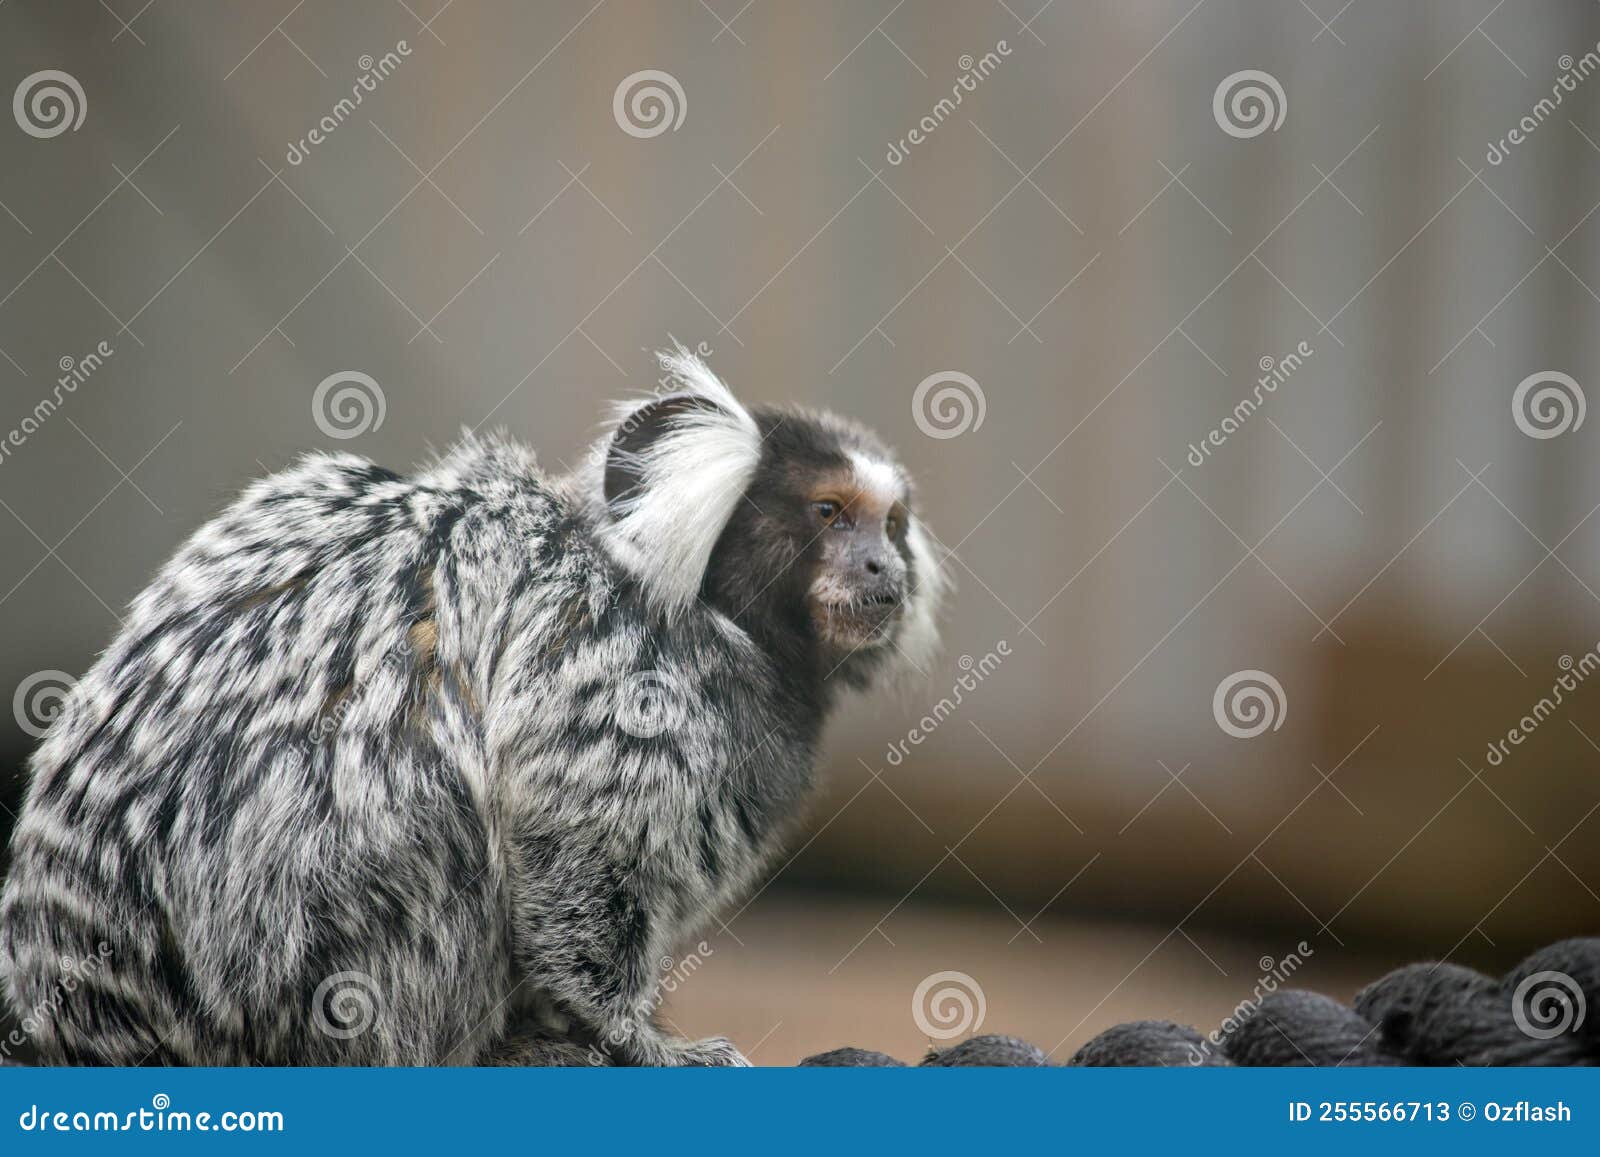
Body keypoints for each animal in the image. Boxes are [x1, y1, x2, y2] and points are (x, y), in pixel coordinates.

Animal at [0, 345, 944, 1066]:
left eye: (891, 524)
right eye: (829, 513)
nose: (881, 568)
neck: (696, 601)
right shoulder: (628, 670)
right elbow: (572, 836)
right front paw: (635, 1036)